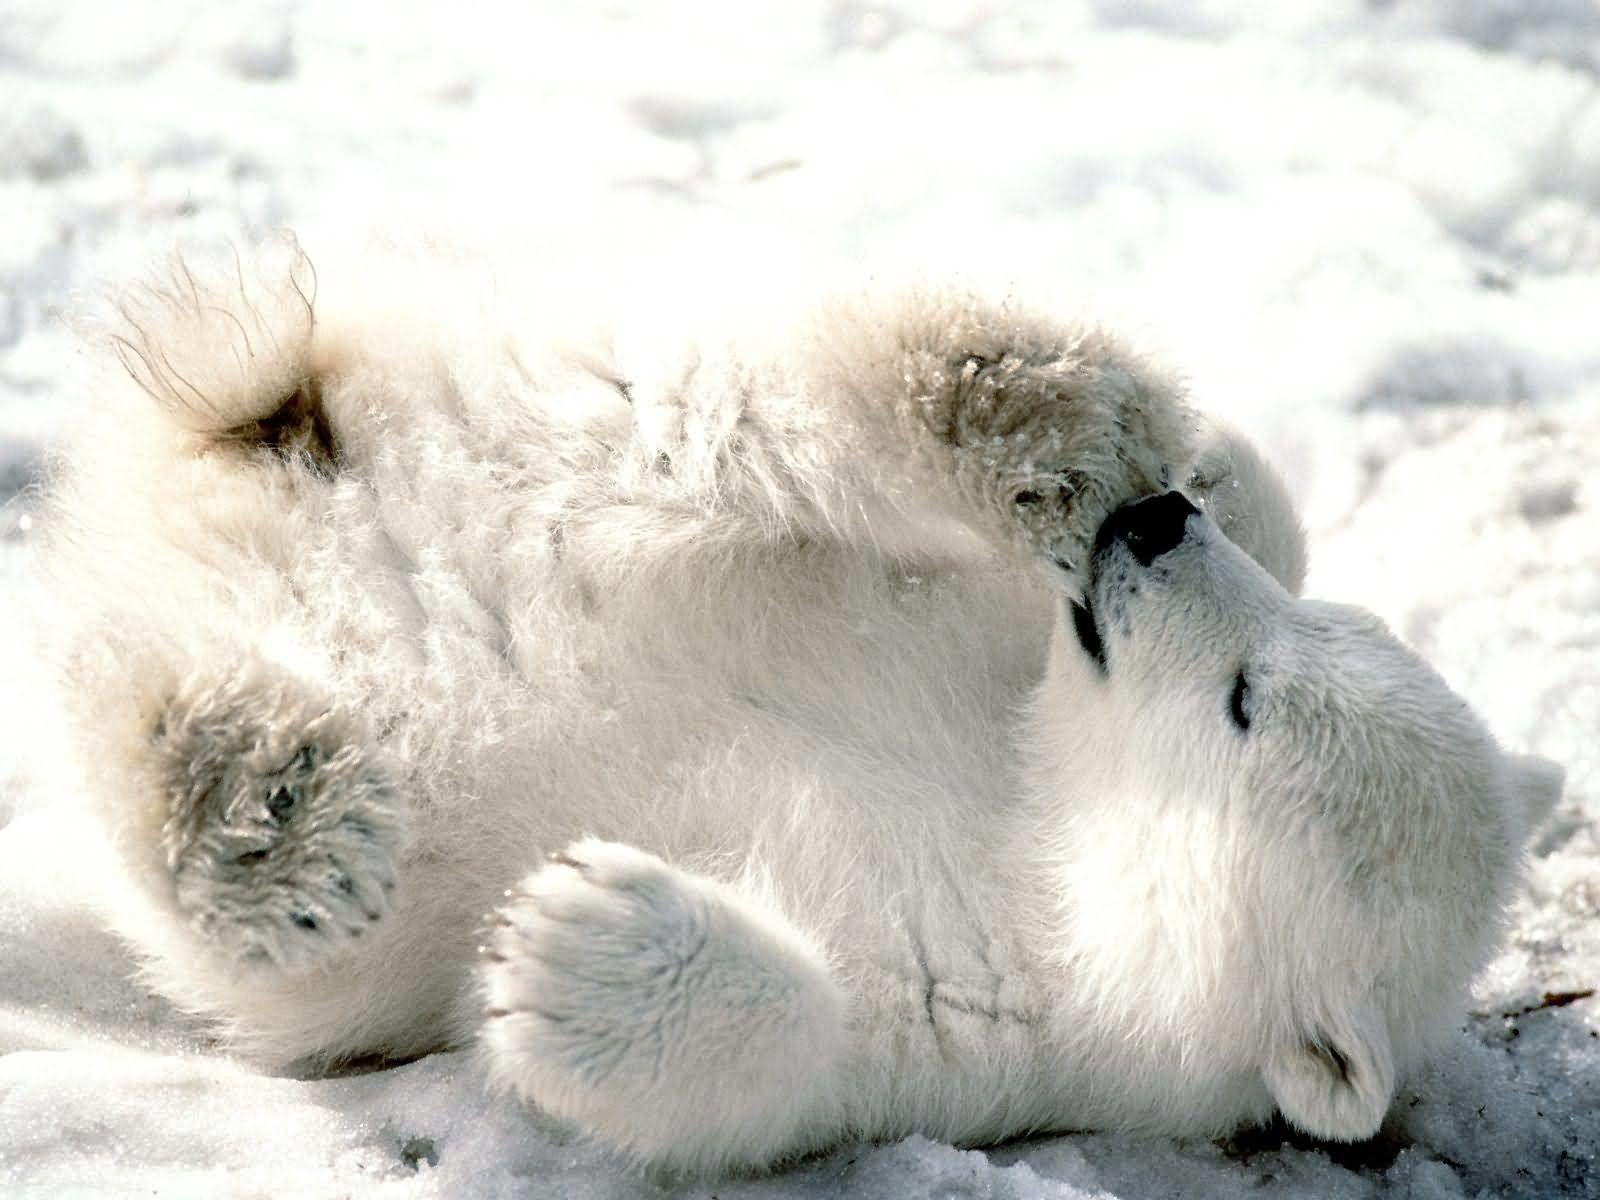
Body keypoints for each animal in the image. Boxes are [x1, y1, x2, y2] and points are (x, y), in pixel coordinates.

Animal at [27, 235, 1562, 1175]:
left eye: (1248, 702)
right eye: (1325, 632)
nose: (1151, 529)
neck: (1035, 806)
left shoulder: (1005, 1021)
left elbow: (793, 1058)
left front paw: (570, 943)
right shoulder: (988, 637)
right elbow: (1255, 515)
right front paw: (1196, 467)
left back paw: (263, 813)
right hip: (550, 428)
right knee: (733, 419)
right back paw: (1031, 407)